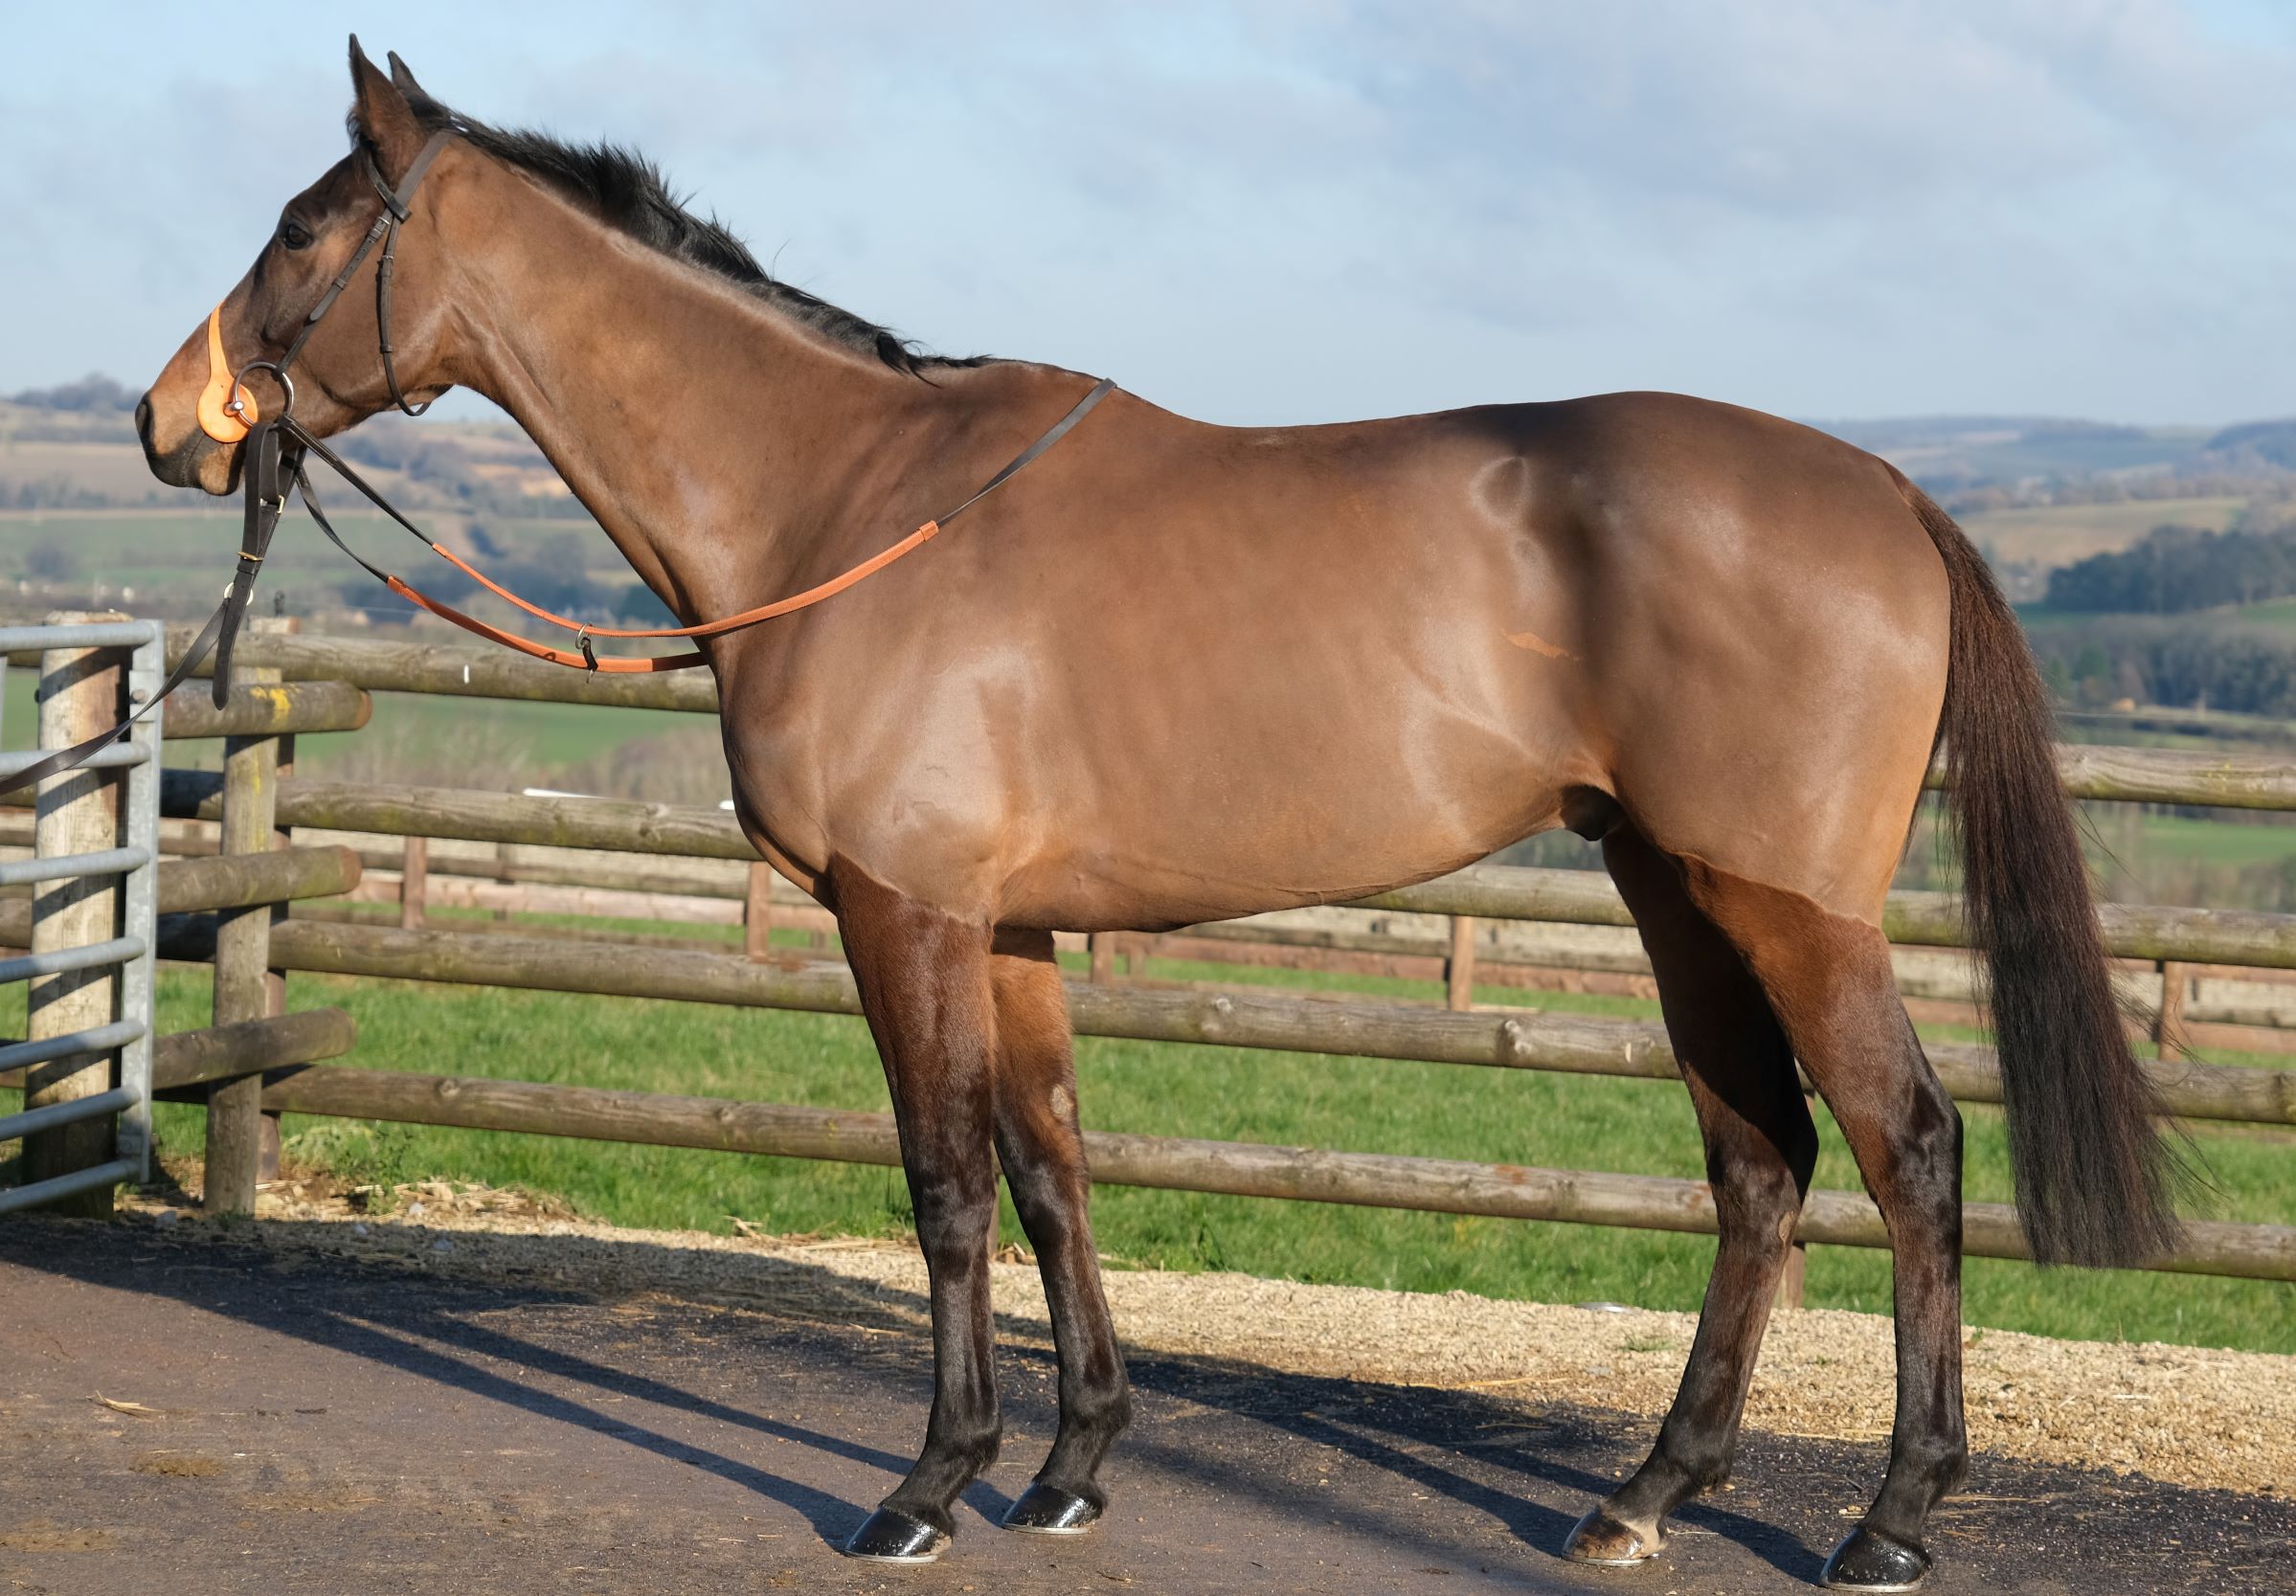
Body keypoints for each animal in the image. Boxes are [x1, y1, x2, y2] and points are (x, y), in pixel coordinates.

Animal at [135, 40, 2179, 1590]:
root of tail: (1885, 490)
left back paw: (1889, 1519)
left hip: (1787, 910)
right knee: (1758, 1165)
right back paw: (1644, 1496)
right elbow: (1051, 1170)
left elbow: (945, 1188)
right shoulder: (1010, 927)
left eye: (304, 225)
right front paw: (1068, 1465)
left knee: (1911, 1151)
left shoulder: (903, 912)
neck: (839, 500)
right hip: (1675, 895)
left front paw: (923, 1484)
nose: (170, 421)